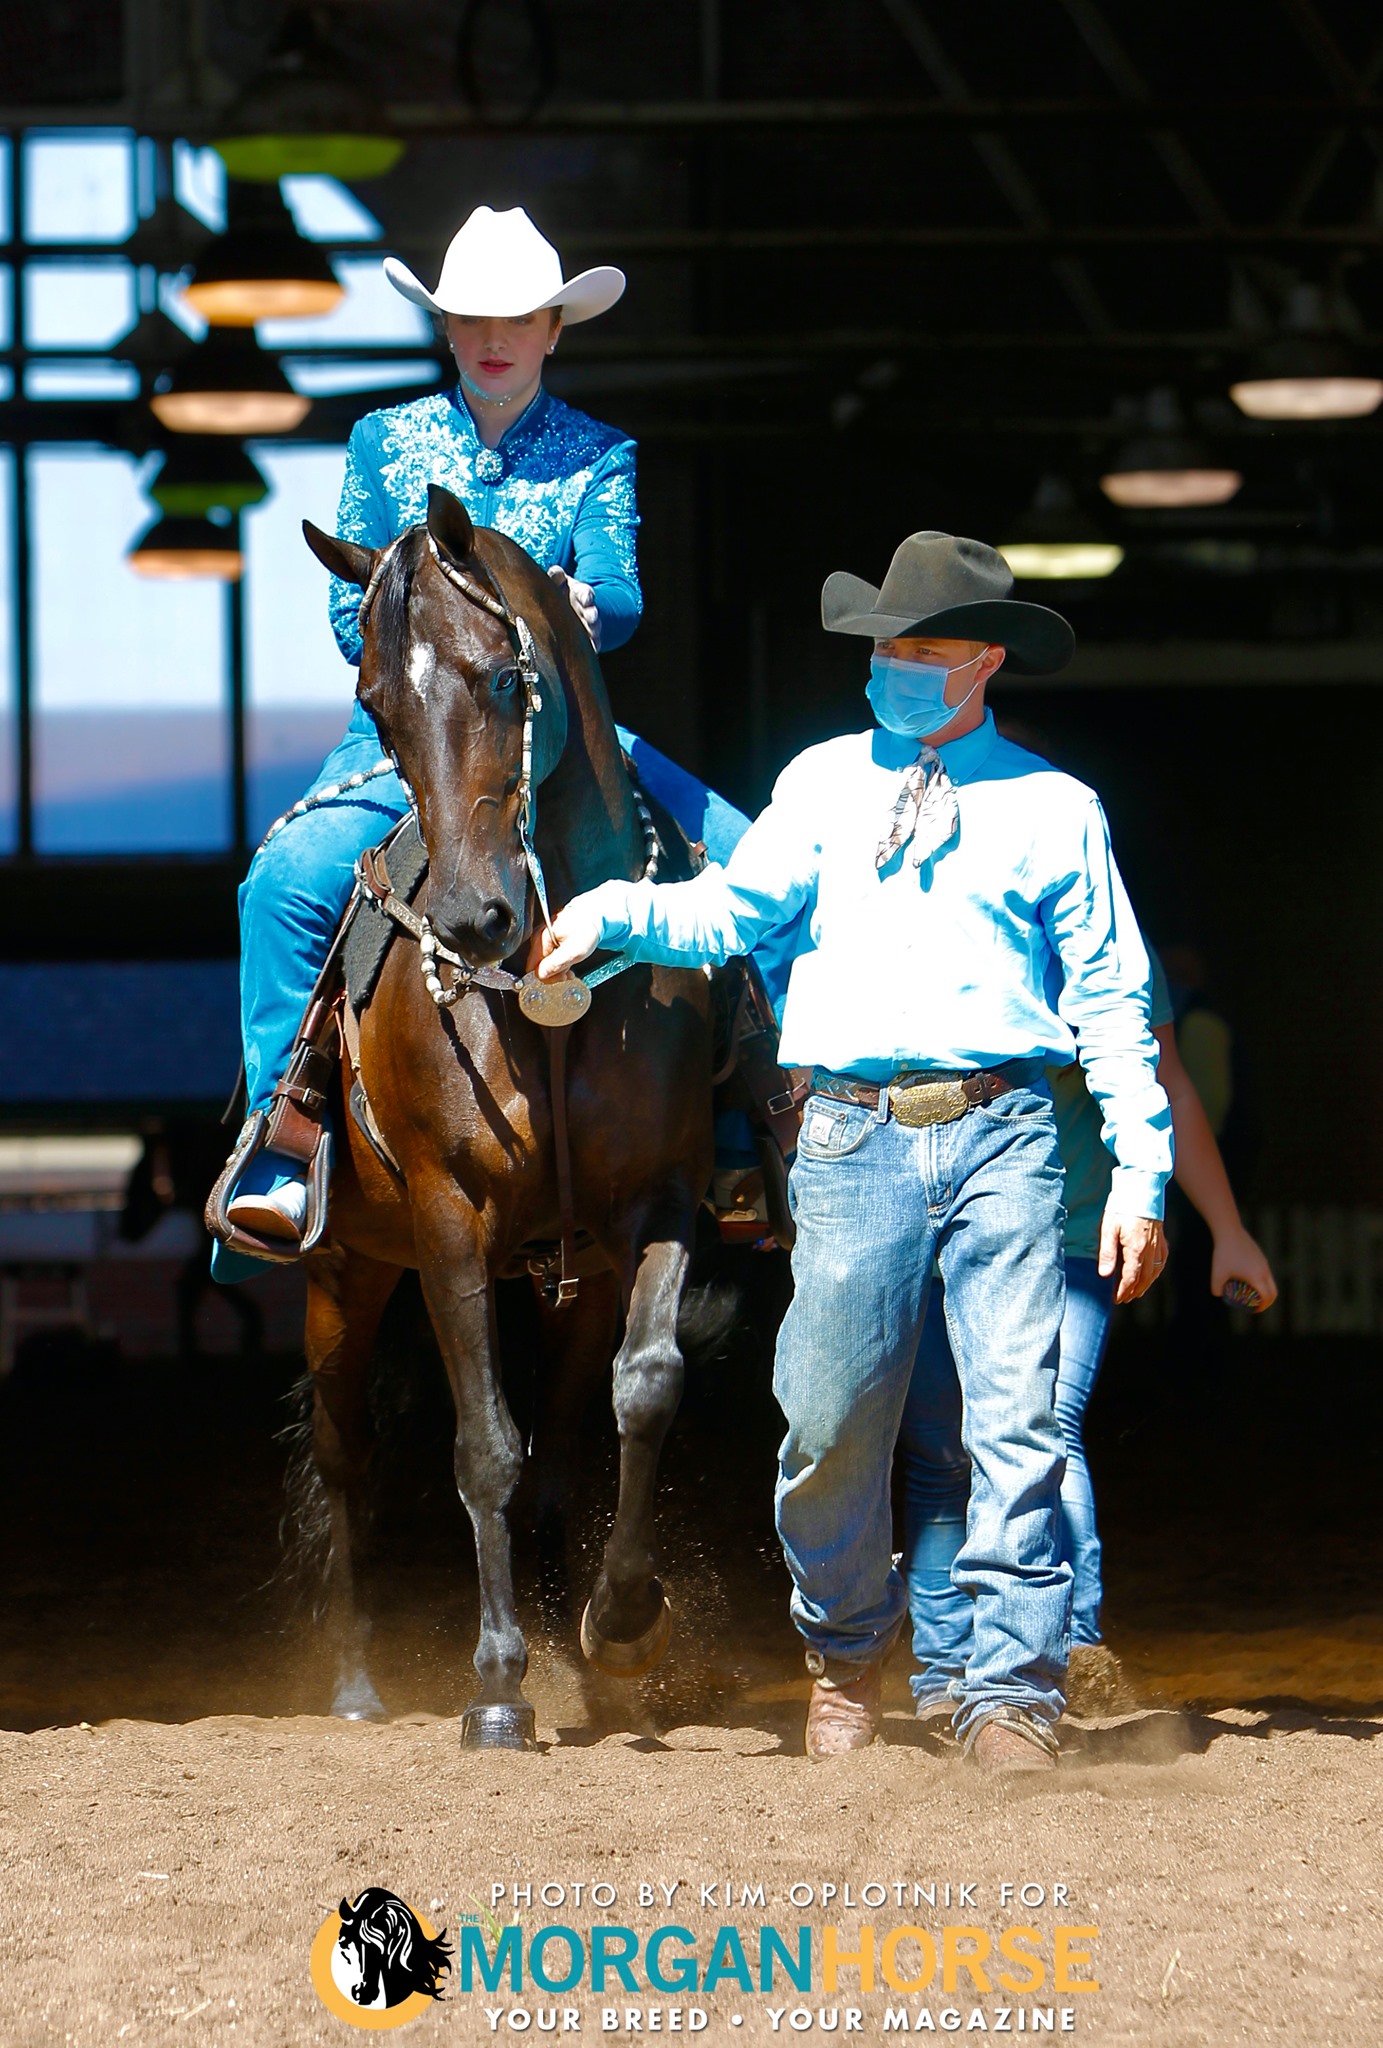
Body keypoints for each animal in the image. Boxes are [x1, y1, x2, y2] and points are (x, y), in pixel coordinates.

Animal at [291, 483, 715, 1747]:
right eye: (378, 708)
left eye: (500, 681)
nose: (474, 917)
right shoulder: (448, 1219)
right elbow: (483, 1443)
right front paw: (495, 1680)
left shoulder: (659, 1198)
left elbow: (644, 1386)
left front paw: (619, 1626)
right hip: (343, 1271)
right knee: (347, 1451)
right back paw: (356, 1681)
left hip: (570, 1270)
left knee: (567, 1434)